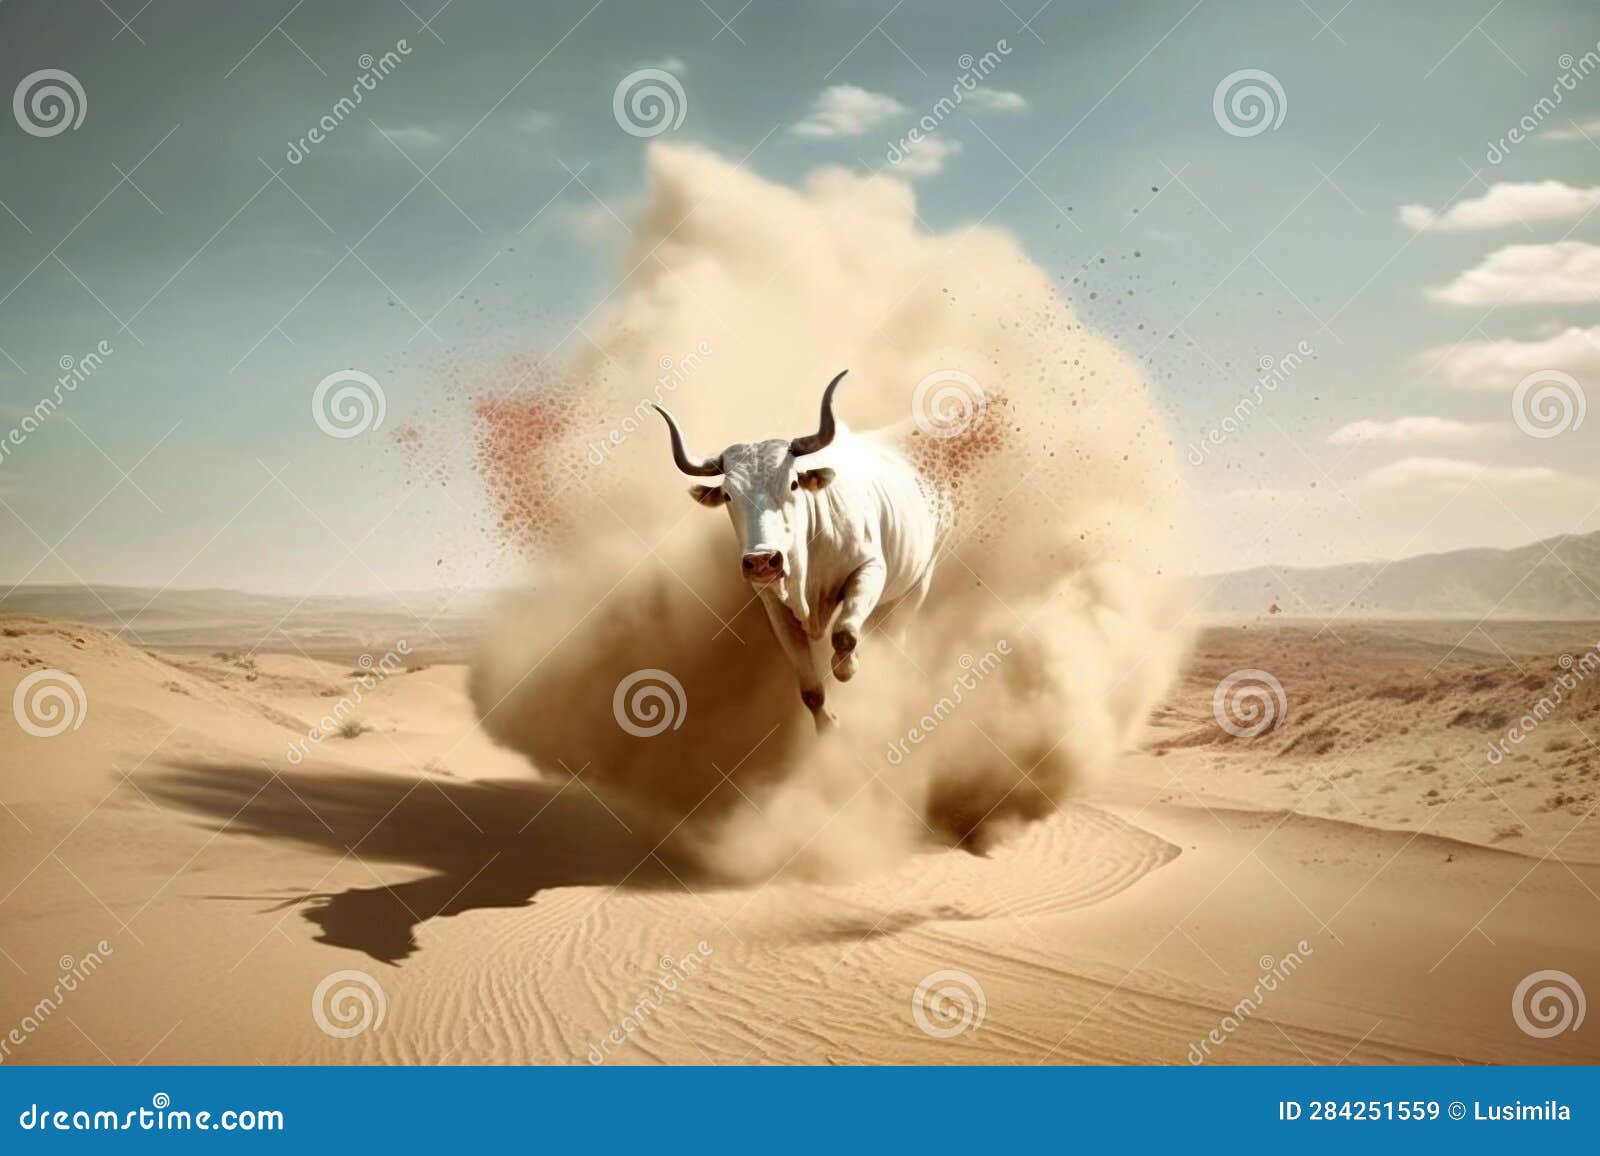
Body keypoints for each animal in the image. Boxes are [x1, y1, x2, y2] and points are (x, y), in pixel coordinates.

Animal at [651, 371, 947, 732]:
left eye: (792, 483)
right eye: (729, 495)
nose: (762, 561)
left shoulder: (869, 569)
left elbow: (844, 636)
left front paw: (847, 667)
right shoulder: (774, 604)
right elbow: (810, 690)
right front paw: (827, 731)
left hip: (918, 584)